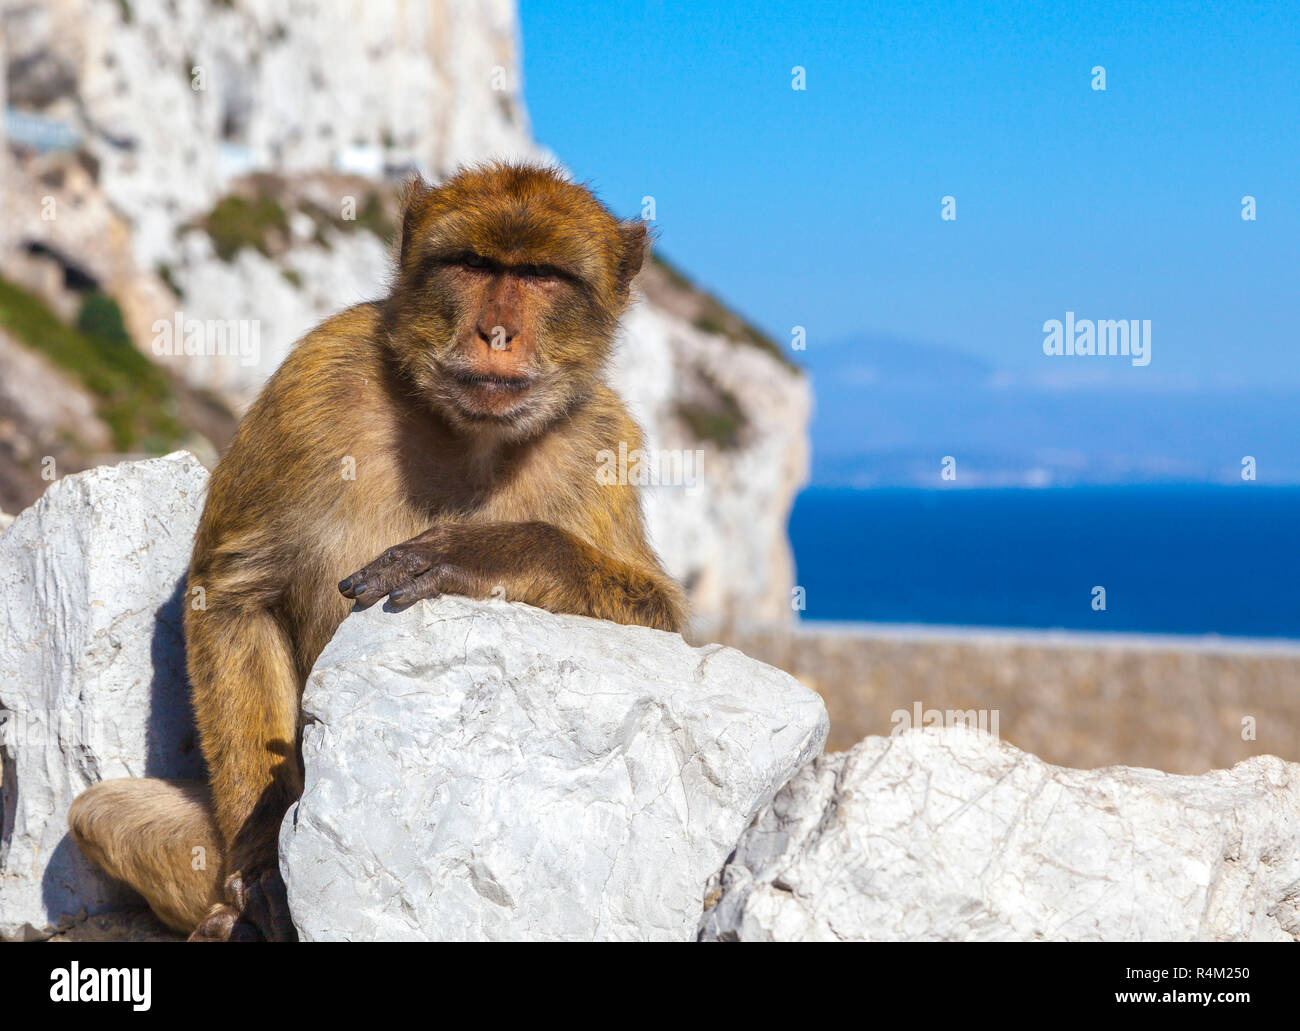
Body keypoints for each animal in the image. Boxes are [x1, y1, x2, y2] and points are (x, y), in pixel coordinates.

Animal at [67, 163, 687, 941]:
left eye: (542, 276)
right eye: (472, 265)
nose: (497, 331)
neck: (466, 433)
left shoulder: (605, 438)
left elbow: (660, 618)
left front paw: (492, 552)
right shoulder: (316, 377)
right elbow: (231, 596)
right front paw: (264, 855)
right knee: (100, 815)